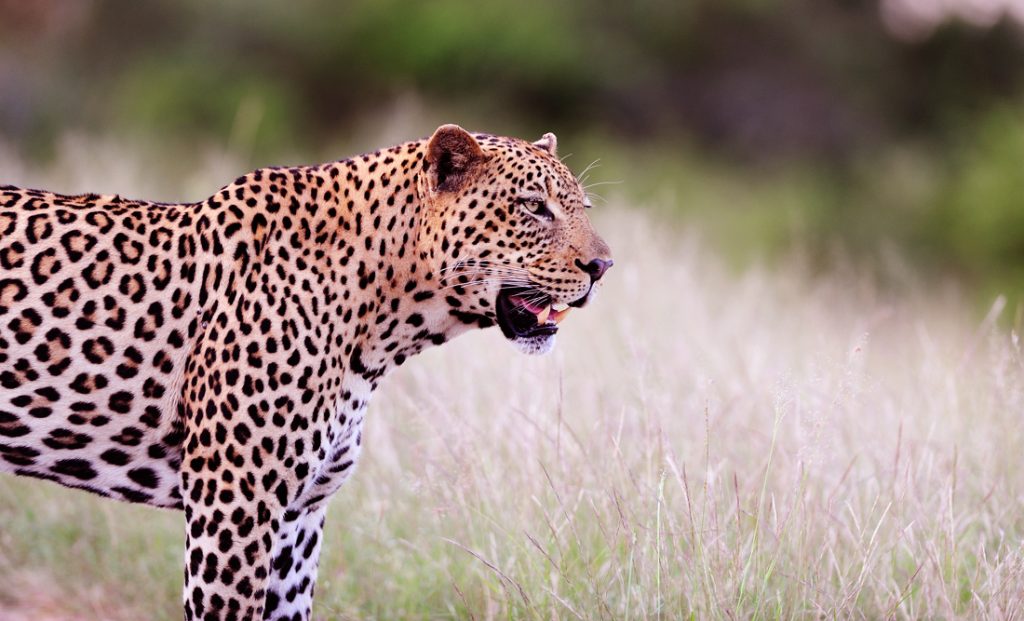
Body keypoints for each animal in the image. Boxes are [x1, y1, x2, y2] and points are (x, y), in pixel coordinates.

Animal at [0, 124, 612, 620]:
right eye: (533, 207)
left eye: (582, 206)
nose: (603, 266)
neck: (383, 329)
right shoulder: (234, 503)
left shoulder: (300, 515)